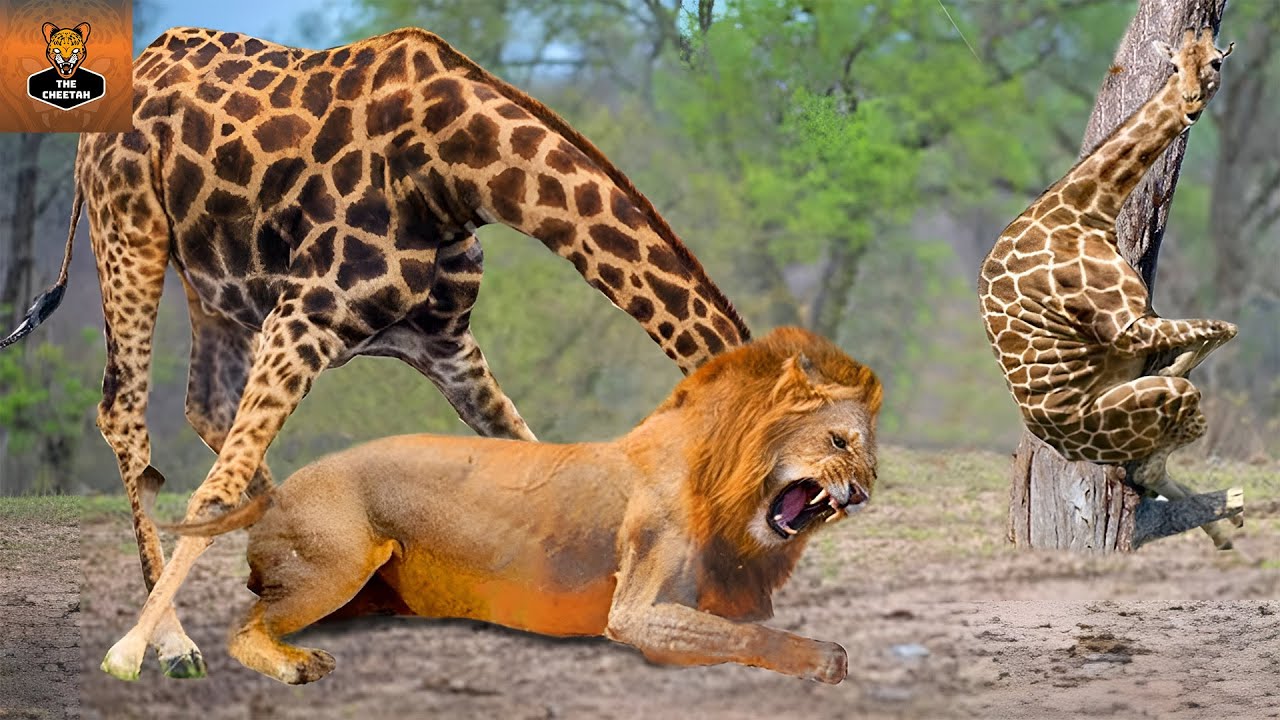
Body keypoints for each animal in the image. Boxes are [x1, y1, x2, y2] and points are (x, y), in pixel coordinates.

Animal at [0, 26, 750, 680]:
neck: (462, 169)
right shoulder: (305, 313)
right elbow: (214, 486)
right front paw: (133, 652)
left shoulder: (446, 343)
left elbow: (528, 458)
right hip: (129, 228)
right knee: (126, 412)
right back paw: (176, 644)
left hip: (209, 282)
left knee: (205, 408)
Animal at [180, 326, 882, 685]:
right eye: (839, 441)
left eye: (872, 459)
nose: (864, 491)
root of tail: (276, 493)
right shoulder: (634, 612)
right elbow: (747, 633)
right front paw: (826, 658)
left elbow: (741, 622)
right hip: (338, 562)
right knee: (242, 626)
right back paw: (295, 664)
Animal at [978, 28, 1237, 548]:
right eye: (1174, 65)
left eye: (1215, 62)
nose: (1191, 103)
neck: (1084, 209)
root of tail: (1065, 443)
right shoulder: (1127, 325)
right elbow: (1221, 327)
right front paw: (1172, 363)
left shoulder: (1143, 319)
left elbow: (1214, 330)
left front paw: (1171, 360)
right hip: (1146, 410)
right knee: (1155, 458)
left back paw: (1224, 527)